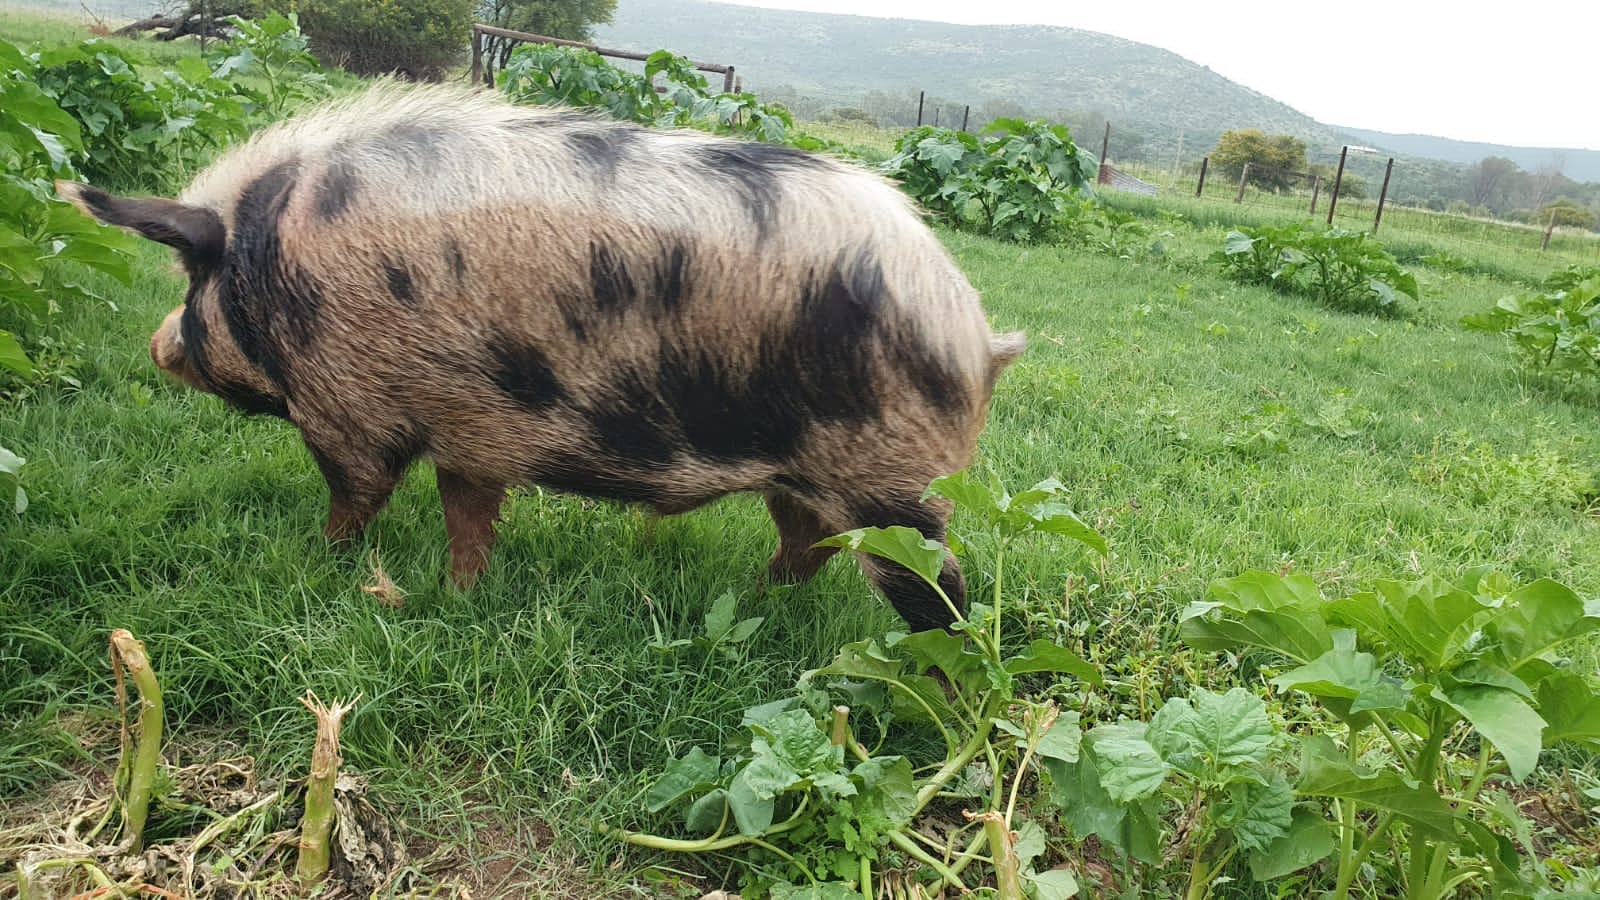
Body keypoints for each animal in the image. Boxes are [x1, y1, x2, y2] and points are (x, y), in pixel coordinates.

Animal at [58, 81, 1024, 633]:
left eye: (195, 284)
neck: (272, 261)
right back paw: (753, 603)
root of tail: (972, 329)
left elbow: (356, 498)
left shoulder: (351, 410)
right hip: (807, 476)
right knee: (807, 545)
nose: (157, 344)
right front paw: (460, 597)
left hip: (893, 482)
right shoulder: (471, 429)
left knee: (940, 588)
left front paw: (322, 564)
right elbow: (469, 518)